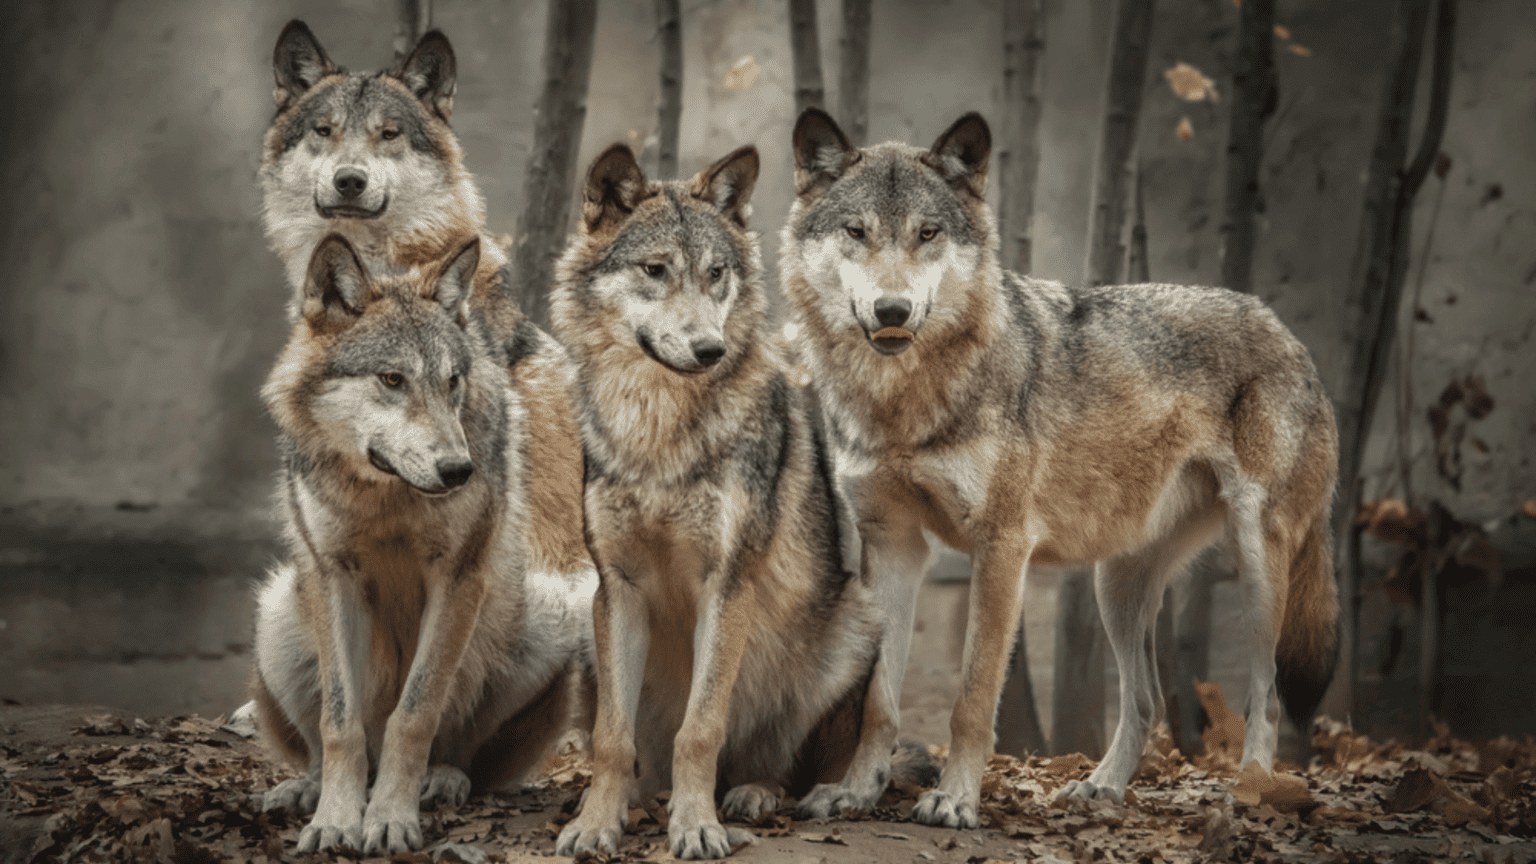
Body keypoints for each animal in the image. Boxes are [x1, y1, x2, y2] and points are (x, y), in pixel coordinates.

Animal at [251, 235, 595, 854]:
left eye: (452, 381)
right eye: (392, 379)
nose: (459, 469)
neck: (387, 497)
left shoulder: (459, 576)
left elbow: (414, 715)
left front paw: (389, 817)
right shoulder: (330, 575)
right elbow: (339, 723)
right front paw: (336, 821)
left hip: (550, 613)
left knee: (463, 755)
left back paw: (441, 781)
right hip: (278, 612)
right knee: (326, 743)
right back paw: (306, 789)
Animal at [549, 144, 896, 860]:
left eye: (715, 275)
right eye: (656, 270)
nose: (709, 348)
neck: (658, 433)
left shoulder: (727, 583)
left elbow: (702, 728)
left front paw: (696, 827)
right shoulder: (617, 587)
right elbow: (610, 738)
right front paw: (595, 824)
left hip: (854, 628)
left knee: (772, 761)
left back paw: (750, 795)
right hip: (585, 637)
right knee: (642, 755)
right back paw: (640, 798)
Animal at [779, 108, 1339, 827]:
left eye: (928, 233)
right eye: (857, 232)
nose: (892, 311)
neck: (903, 401)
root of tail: (1287, 331)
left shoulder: (1002, 547)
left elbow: (972, 698)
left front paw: (955, 801)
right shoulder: (894, 545)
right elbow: (879, 699)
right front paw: (855, 792)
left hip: (1259, 564)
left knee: (1263, 697)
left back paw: (1250, 793)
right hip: (1116, 585)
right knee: (1145, 701)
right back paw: (1102, 788)